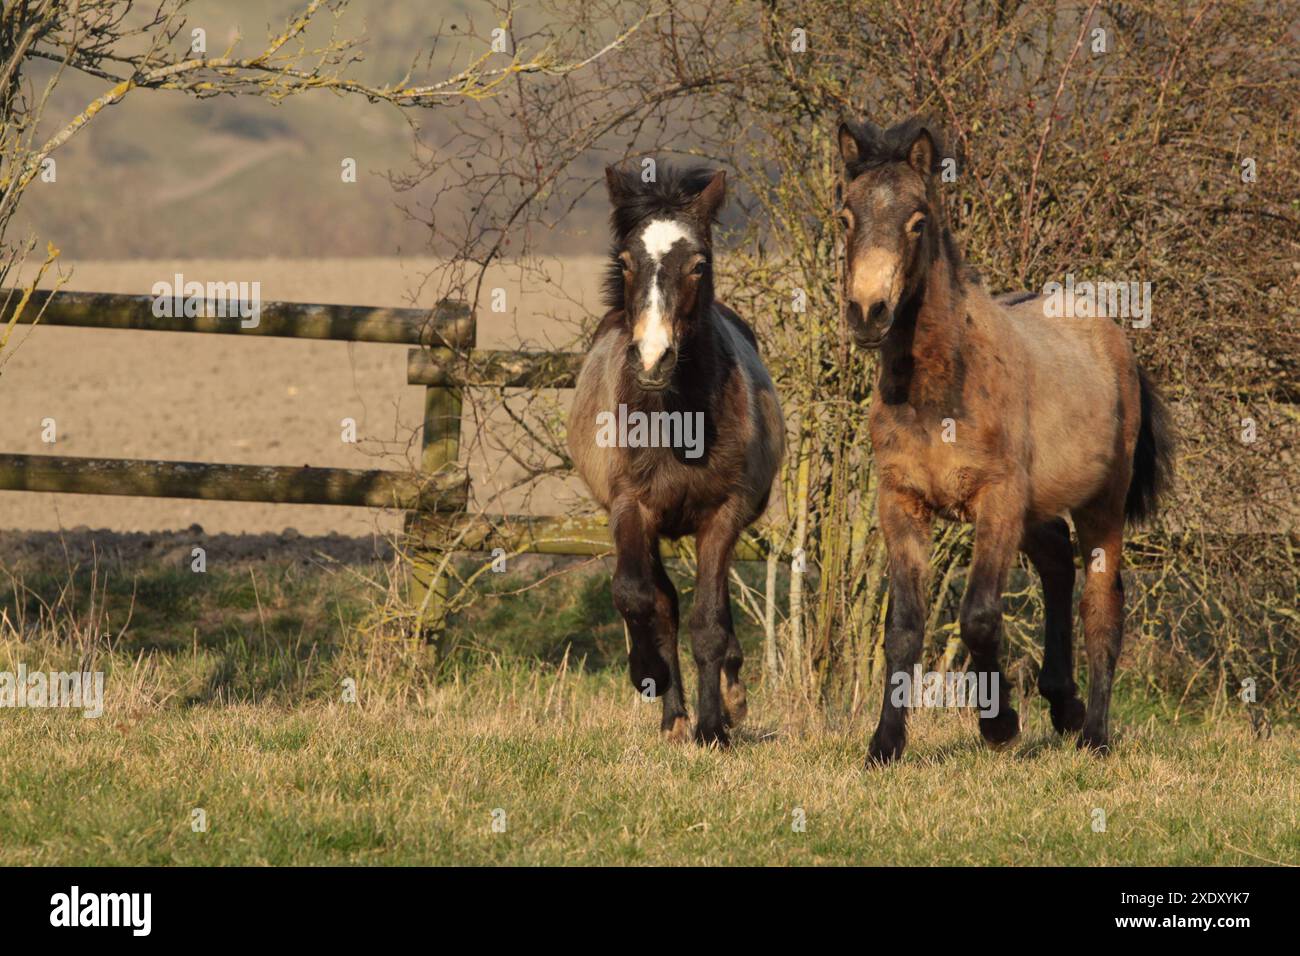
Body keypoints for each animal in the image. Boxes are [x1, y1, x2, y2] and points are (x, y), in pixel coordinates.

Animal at [567, 163, 784, 746]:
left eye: (699, 263)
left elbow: (709, 622)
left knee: (715, 610)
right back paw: (672, 714)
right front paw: (650, 675)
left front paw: (714, 728)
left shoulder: (723, 514)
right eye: (625, 261)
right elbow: (637, 596)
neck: (676, 421)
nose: (652, 358)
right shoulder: (630, 507)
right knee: (660, 599)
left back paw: (726, 701)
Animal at [834, 116, 1174, 763]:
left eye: (918, 221)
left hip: (1100, 503)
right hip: (1038, 507)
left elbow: (979, 617)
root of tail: (1112, 335)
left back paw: (1094, 734)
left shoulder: (996, 500)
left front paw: (999, 725)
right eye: (844, 217)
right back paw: (1064, 706)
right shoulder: (901, 502)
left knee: (1100, 603)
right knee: (1057, 566)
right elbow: (904, 627)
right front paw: (885, 744)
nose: (868, 312)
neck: (940, 392)